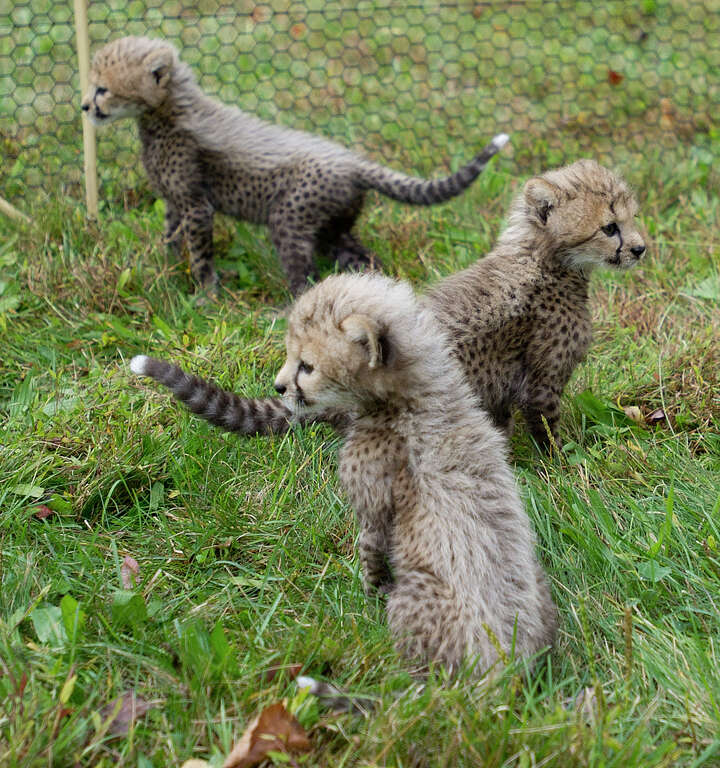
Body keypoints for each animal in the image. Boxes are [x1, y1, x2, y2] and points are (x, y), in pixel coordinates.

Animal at [81, 35, 508, 295]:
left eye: (103, 88)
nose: (85, 106)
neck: (166, 112)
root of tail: (352, 160)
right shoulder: (175, 201)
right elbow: (171, 237)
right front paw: (169, 272)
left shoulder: (196, 206)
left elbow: (201, 255)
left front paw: (206, 296)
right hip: (333, 224)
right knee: (361, 255)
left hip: (290, 218)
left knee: (304, 276)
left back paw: (285, 309)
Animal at [128, 159, 646, 450]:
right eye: (609, 227)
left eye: (631, 218)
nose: (641, 248)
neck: (542, 259)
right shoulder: (540, 383)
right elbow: (547, 431)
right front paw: (563, 469)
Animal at [131, 272, 556, 674]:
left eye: (307, 366)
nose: (279, 386)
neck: (414, 399)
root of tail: (507, 668)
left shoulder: (375, 506)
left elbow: (370, 548)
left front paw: (370, 591)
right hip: (537, 581)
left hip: (420, 599)